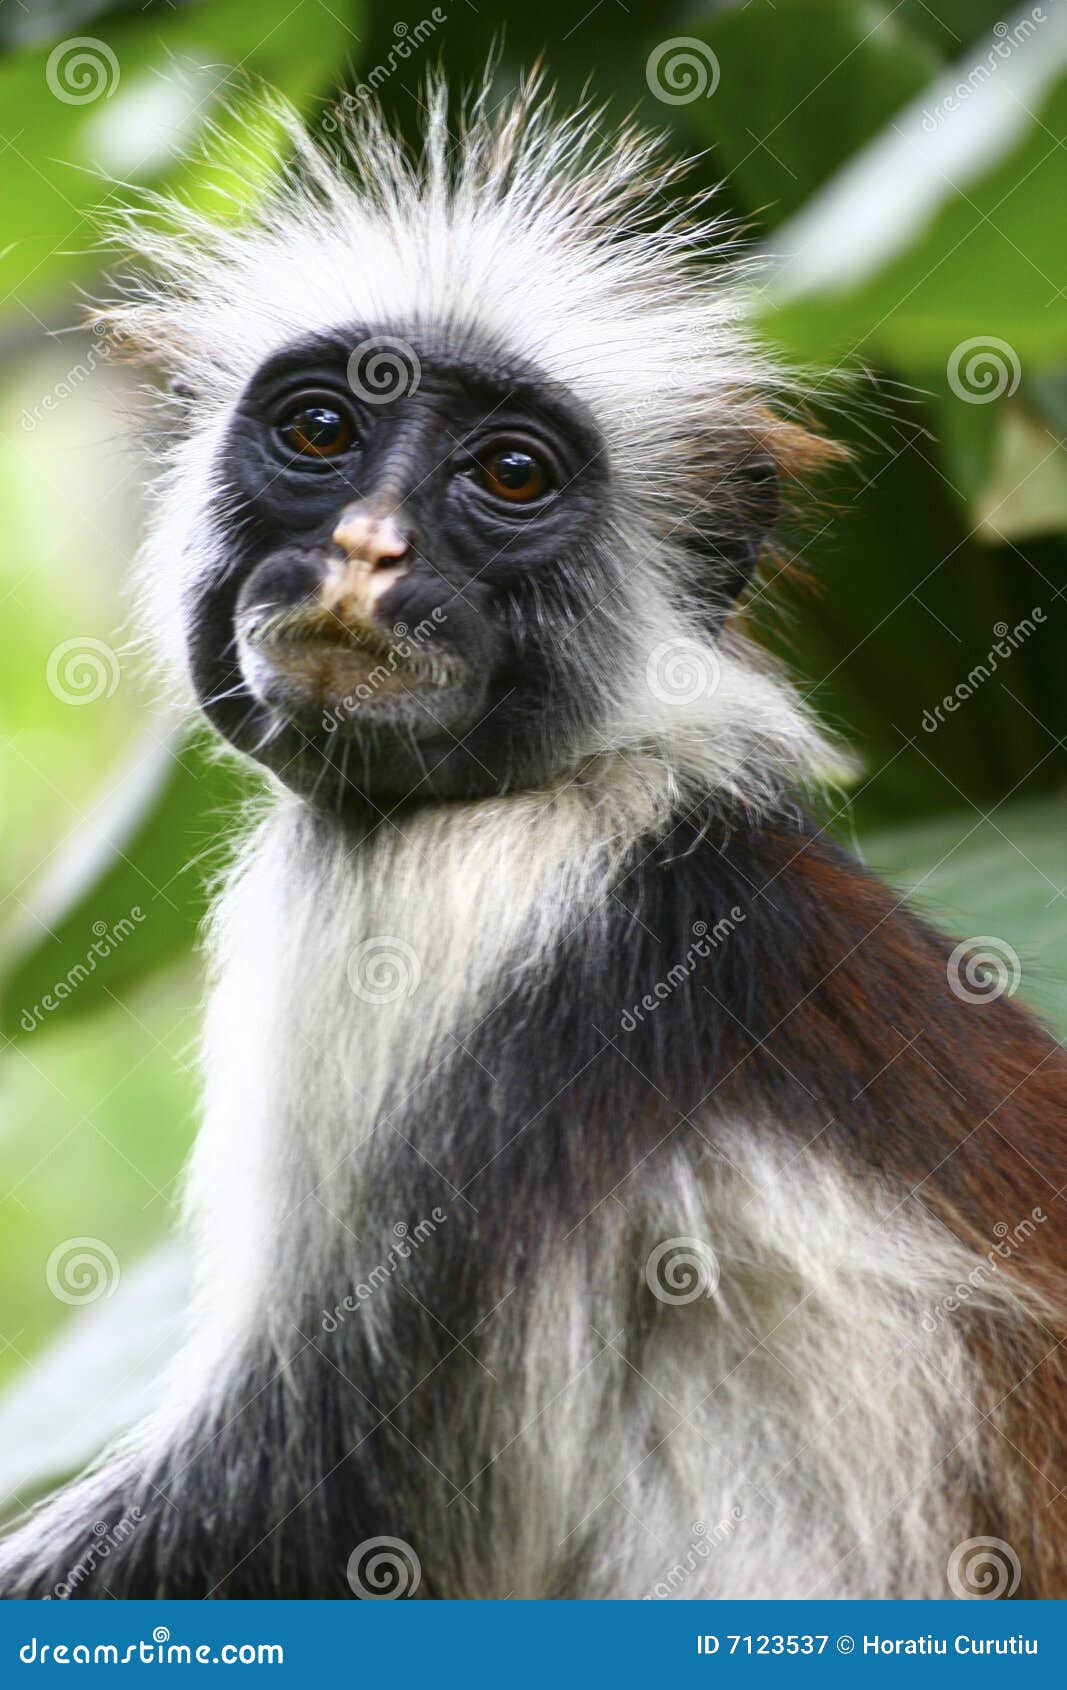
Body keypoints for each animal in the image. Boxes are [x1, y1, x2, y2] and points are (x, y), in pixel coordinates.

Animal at [1, 75, 1065, 1602]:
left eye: (507, 473)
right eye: (319, 432)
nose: (370, 547)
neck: (584, 777)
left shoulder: (454, 912)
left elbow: (334, 1503)